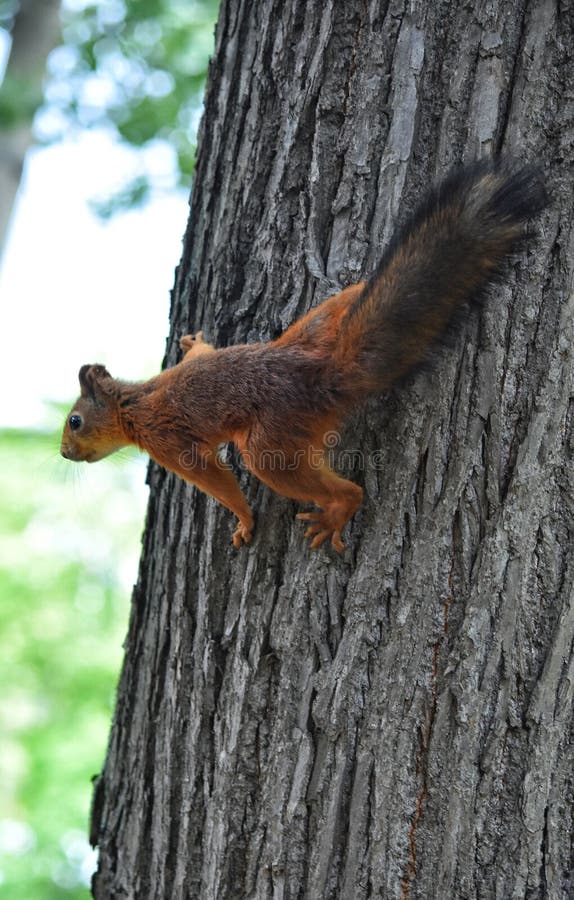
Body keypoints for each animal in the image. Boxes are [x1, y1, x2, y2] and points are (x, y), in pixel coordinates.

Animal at [61, 160, 547, 551]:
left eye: (75, 421)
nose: (64, 454)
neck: (133, 402)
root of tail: (318, 376)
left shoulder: (168, 440)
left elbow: (215, 479)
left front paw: (243, 520)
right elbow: (202, 354)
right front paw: (193, 341)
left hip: (271, 443)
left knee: (328, 484)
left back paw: (337, 511)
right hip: (313, 330)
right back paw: (358, 289)